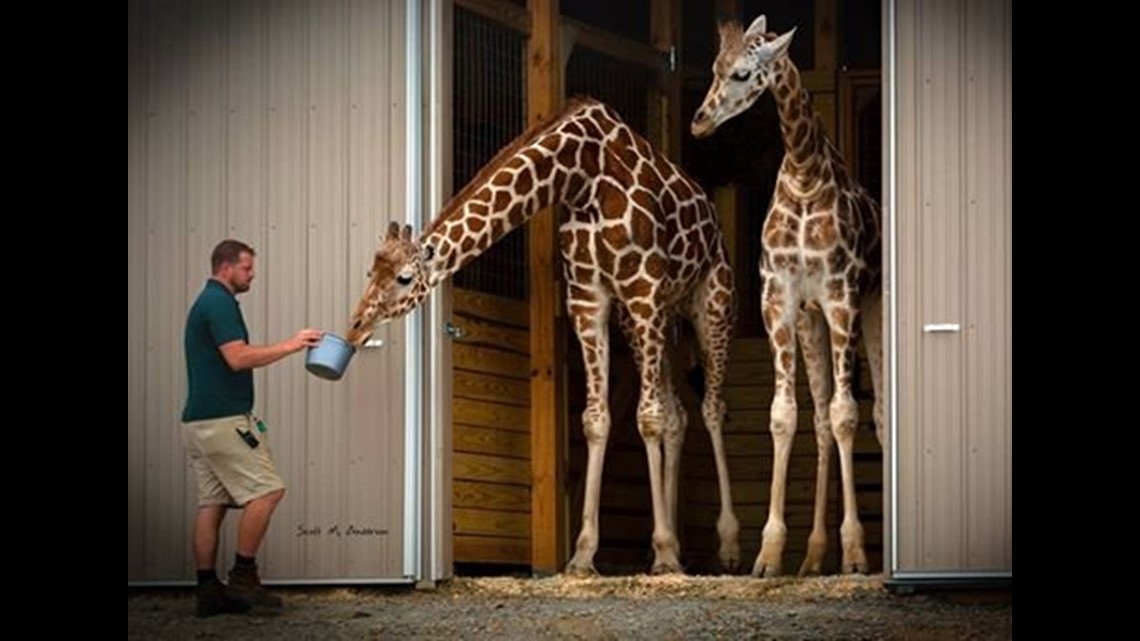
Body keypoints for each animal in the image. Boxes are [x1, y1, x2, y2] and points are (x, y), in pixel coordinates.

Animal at [346, 97, 740, 576]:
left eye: (404, 278)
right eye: (370, 271)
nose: (354, 327)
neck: (581, 175)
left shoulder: (641, 288)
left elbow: (648, 418)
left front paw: (664, 552)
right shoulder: (590, 298)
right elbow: (597, 418)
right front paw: (585, 554)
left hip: (709, 301)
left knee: (711, 408)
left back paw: (729, 547)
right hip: (650, 319)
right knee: (678, 413)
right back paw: (673, 549)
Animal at [690, 16, 884, 577]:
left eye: (742, 73)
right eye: (714, 67)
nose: (700, 123)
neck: (802, 172)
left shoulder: (841, 296)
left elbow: (847, 414)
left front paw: (856, 554)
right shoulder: (779, 298)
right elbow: (785, 415)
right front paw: (768, 554)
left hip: (870, 312)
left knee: (877, 414)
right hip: (811, 321)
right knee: (818, 419)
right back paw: (814, 557)